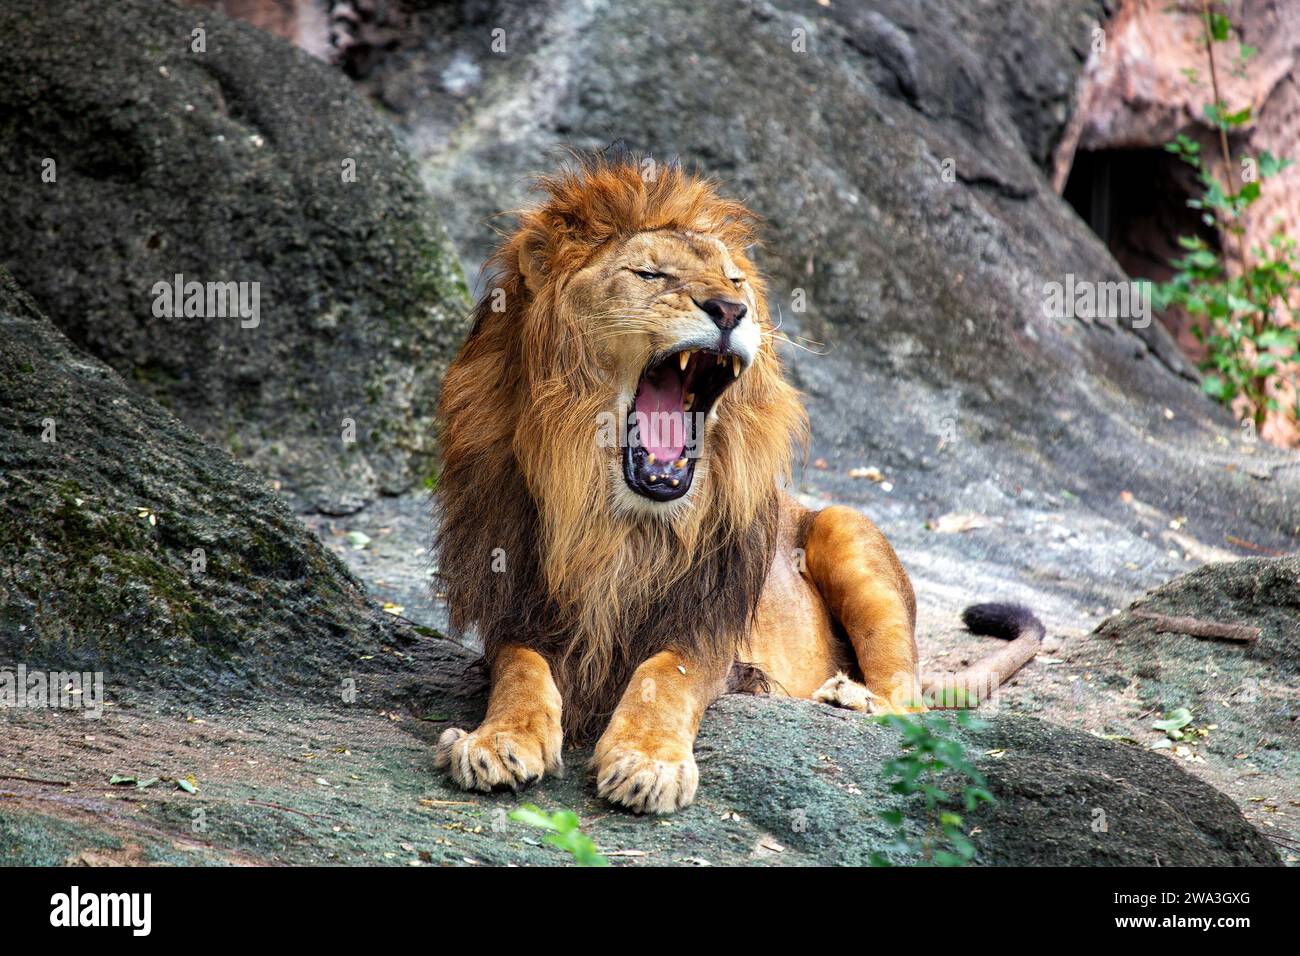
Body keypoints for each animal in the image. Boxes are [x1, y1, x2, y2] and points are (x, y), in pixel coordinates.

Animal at [433, 155, 1041, 814]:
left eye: (735, 280)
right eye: (649, 273)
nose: (729, 310)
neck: (614, 521)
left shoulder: (705, 625)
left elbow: (664, 676)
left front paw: (648, 761)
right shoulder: (513, 603)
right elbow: (519, 669)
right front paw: (497, 741)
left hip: (842, 527)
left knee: (911, 705)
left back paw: (850, 695)